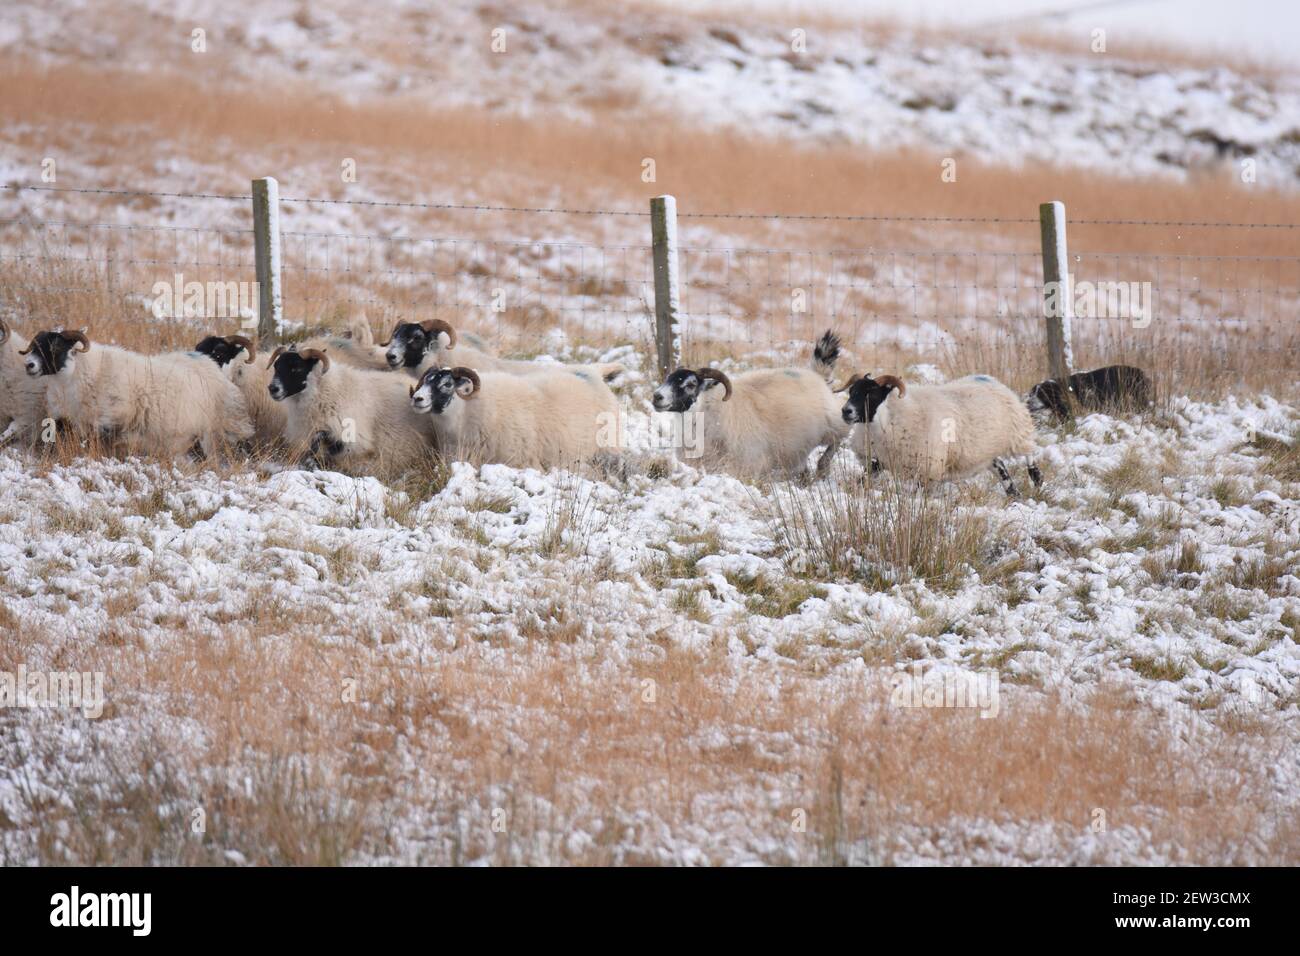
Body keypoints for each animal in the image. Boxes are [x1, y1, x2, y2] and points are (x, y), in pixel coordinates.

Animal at [20, 329, 253, 459]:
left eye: (56, 346)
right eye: (34, 346)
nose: (29, 365)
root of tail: (208, 365)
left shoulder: (108, 423)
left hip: (211, 432)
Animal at [649, 330, 849, 480]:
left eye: (691, 384)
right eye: (667, 379)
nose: (657, 397)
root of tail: (816, 375)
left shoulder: (746, 467)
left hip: (836, 422)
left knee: (838, 439)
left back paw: (823, 469)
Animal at [839, 372, 1040, 494]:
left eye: (871, 393)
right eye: (851, 391)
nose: (846, 411)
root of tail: (989, 379)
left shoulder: (927, 468)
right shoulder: (877, 462)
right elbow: (861, 481)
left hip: (1018, 431)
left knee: (1029, 452)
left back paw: (1036, 477)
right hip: (984, 450)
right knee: (999, 465)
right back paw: (1013, 492)